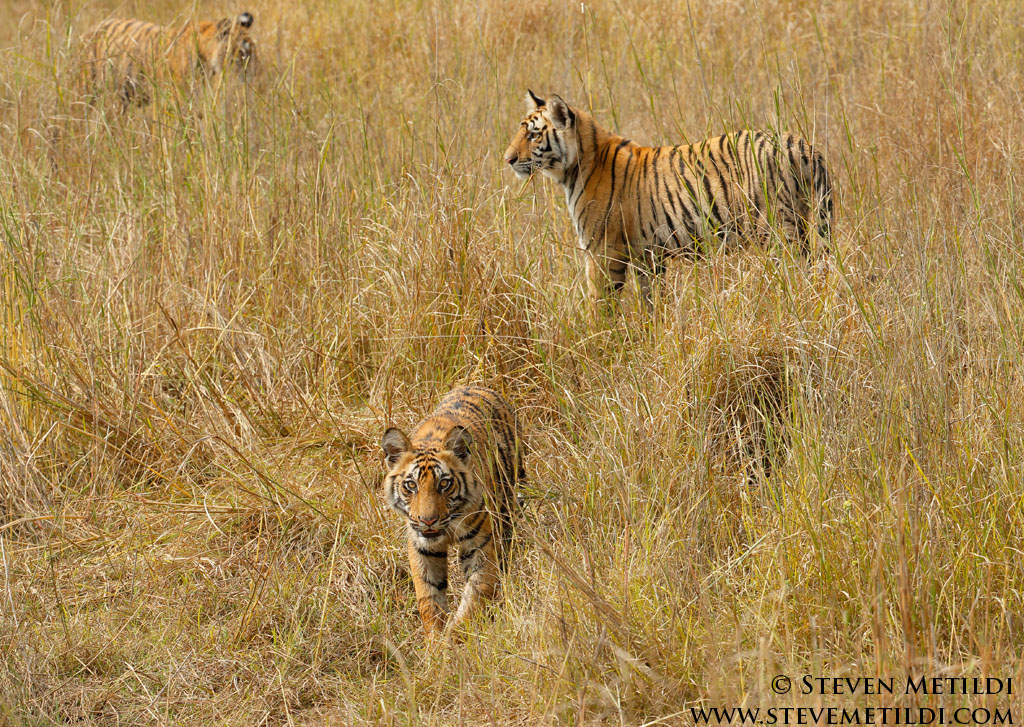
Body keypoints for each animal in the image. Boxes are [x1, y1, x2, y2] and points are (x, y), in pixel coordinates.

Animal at [80, 11, 258, 109]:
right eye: (241, 53)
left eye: (253, 53)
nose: (251, 76)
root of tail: (93, 27)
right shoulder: (174, 98)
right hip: (91, 89)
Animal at [381, 385, 523, 639]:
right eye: (411, 485)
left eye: (444, 484)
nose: (428, 521)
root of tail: (478, 385)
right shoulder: (422, 548)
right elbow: (429, 600)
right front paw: (435, 643)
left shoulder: (480, 546)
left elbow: (474, 598)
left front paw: (454, 640)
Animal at [503, 91, 834, 310]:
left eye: (533, 135)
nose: (507, 160)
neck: (579, 164)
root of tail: (801, 145)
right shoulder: (647, 258)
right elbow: (652, 303)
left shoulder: (602, 253)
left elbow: (602, 308)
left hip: (777, 230)